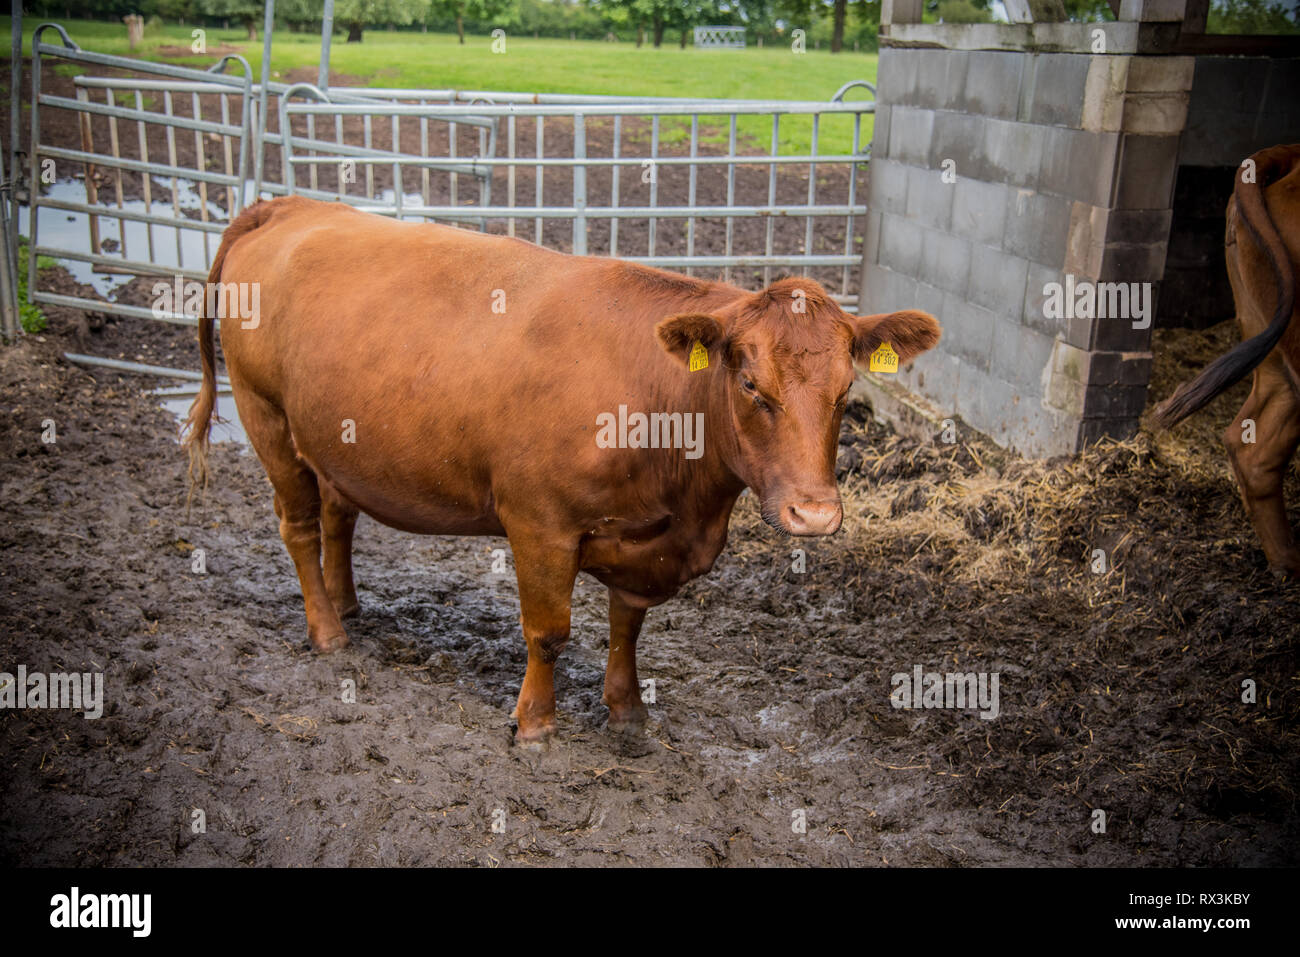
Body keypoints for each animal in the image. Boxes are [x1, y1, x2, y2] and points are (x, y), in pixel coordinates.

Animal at [183, 196, 941, 746]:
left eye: (846, 390)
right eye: (752, 384)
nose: (815, 513)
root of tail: (289, 205)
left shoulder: (644, 543)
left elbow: (627, 627)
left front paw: (627, 711)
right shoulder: (539, 523)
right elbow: (548, 632)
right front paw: (535, 724)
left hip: (333, 437)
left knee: (338, 515)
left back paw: (346, 605)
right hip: (264, 415)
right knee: (299, 525)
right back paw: (327, 632)